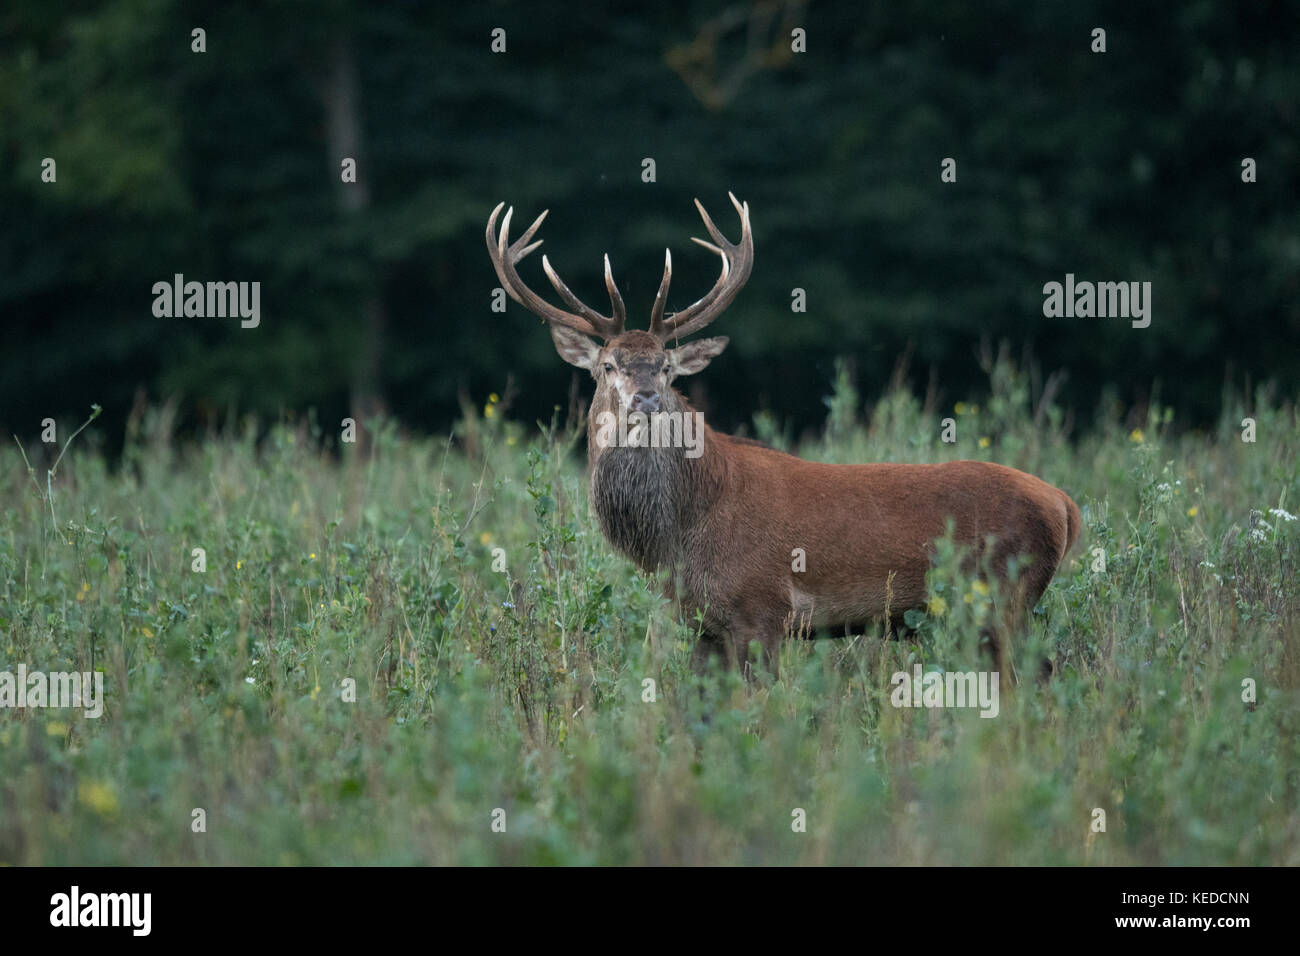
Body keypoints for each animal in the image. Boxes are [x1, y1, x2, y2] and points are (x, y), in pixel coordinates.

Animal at [486, 193, 1082, 679]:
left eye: (667, 367)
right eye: (607, 365)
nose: (646, 398)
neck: (679, 536)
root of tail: (1065, 504)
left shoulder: (763, 609)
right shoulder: (703, 625)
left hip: (1003, 596)